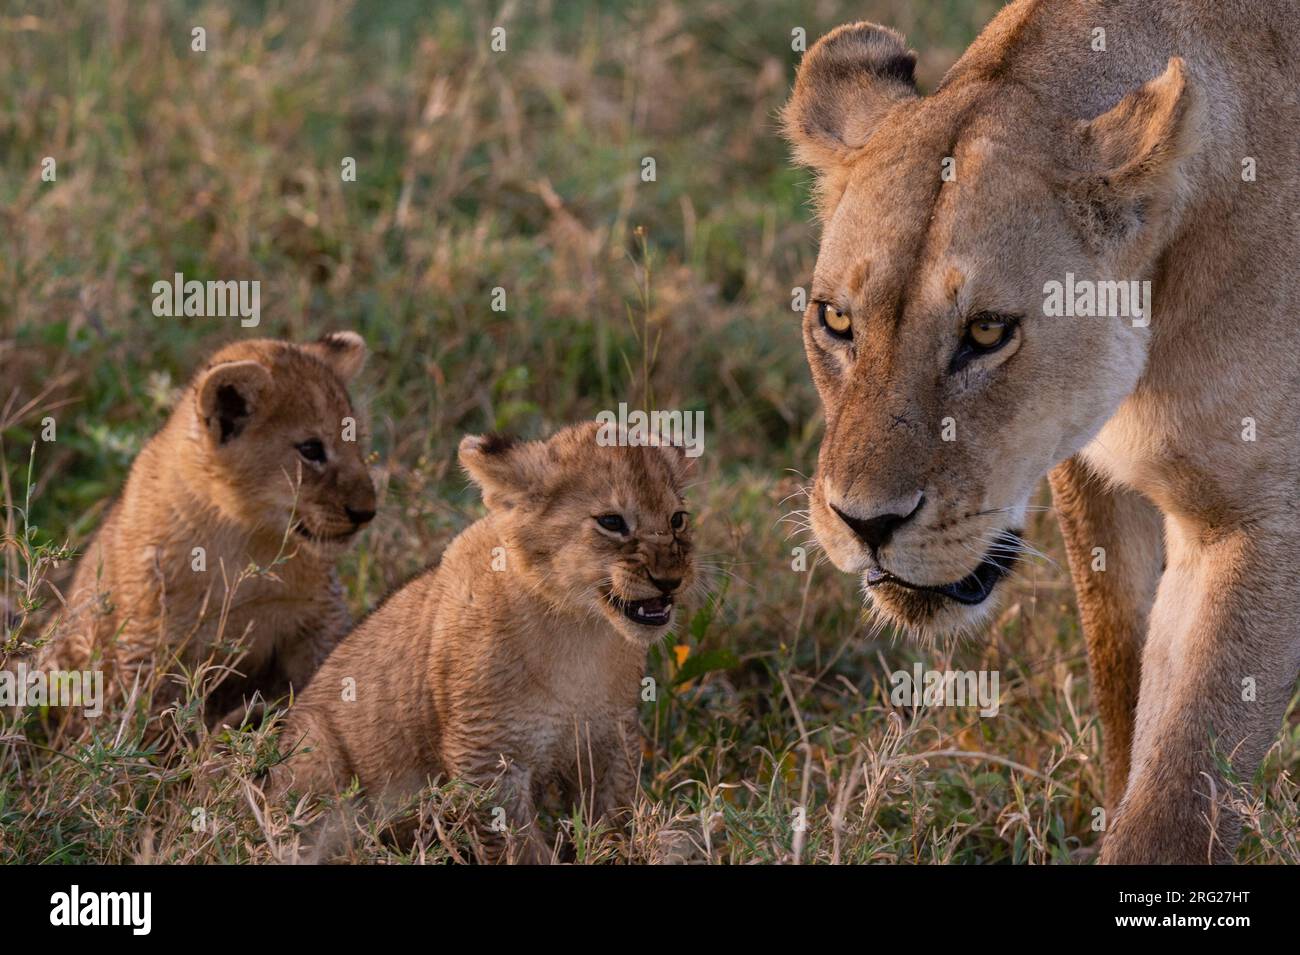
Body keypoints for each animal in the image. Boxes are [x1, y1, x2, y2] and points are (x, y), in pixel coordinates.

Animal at [33, 331, 376, 725]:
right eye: (311, 449)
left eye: (355, 442)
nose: (368, 512)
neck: (248, 535)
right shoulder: (150, 642)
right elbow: (154, 719)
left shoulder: (320, 617)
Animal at [273, 422, 696, 861]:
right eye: (611, 521)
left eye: (677, 519)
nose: (670, 580)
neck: (579, 630)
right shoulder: (486, 756)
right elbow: (519, 848)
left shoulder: (612, 741)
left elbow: (614, 823)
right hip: (315, 756)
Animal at [782, 0, 1299, 863]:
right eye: (837, 321)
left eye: (988, 331)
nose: (865, 523)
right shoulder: (1092, 471)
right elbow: (1125, 676)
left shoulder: (1257, 517)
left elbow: (1181, 789)